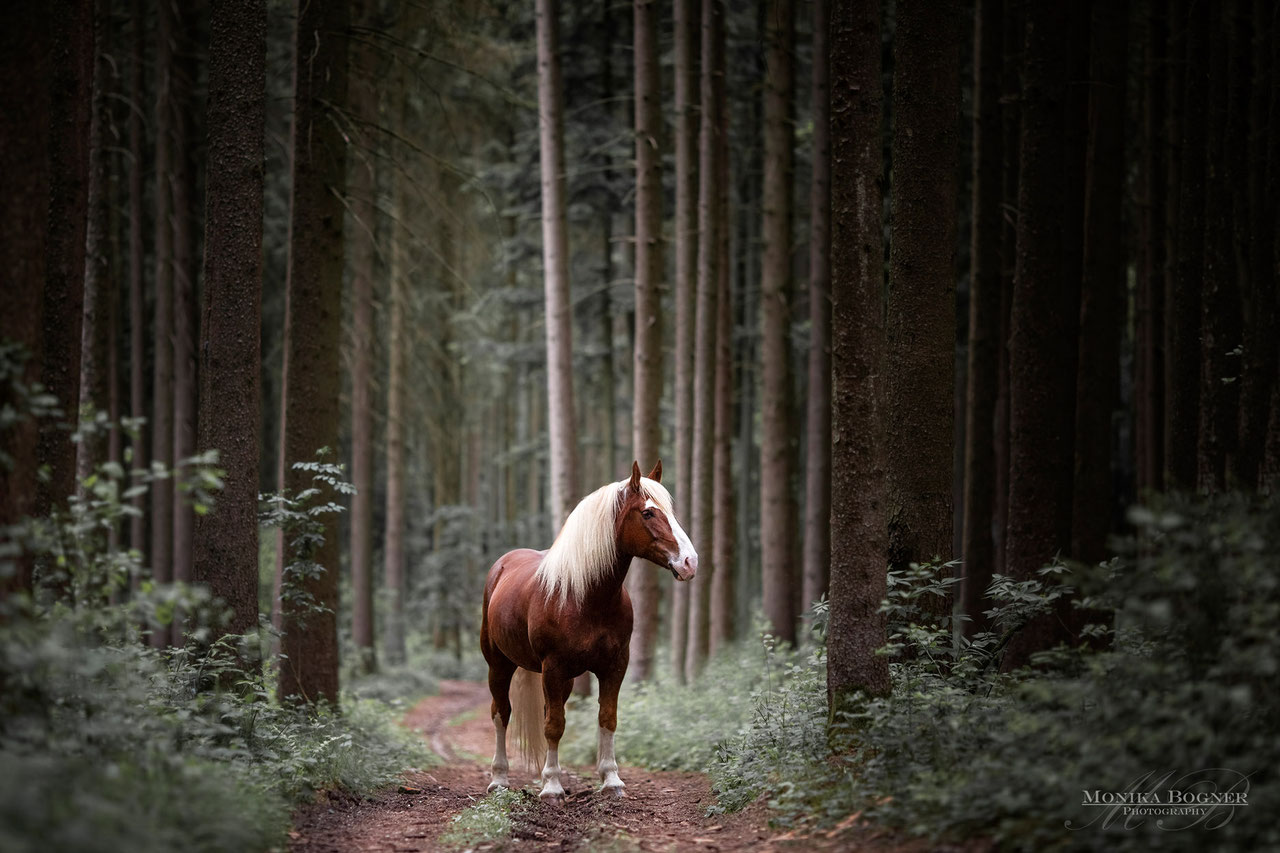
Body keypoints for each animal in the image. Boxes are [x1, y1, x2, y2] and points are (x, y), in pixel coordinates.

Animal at [479, 460, 698, 800]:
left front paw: (611, 780)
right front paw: (552, 788)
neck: (584, 596)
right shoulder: (553, 667)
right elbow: (554, 725)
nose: (690, 562)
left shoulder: (614, 666)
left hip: (564, 679)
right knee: (501, 713)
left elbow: (606, 718)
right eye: (648, 513)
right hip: (499, 664)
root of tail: (501, 566)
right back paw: (500, 779)